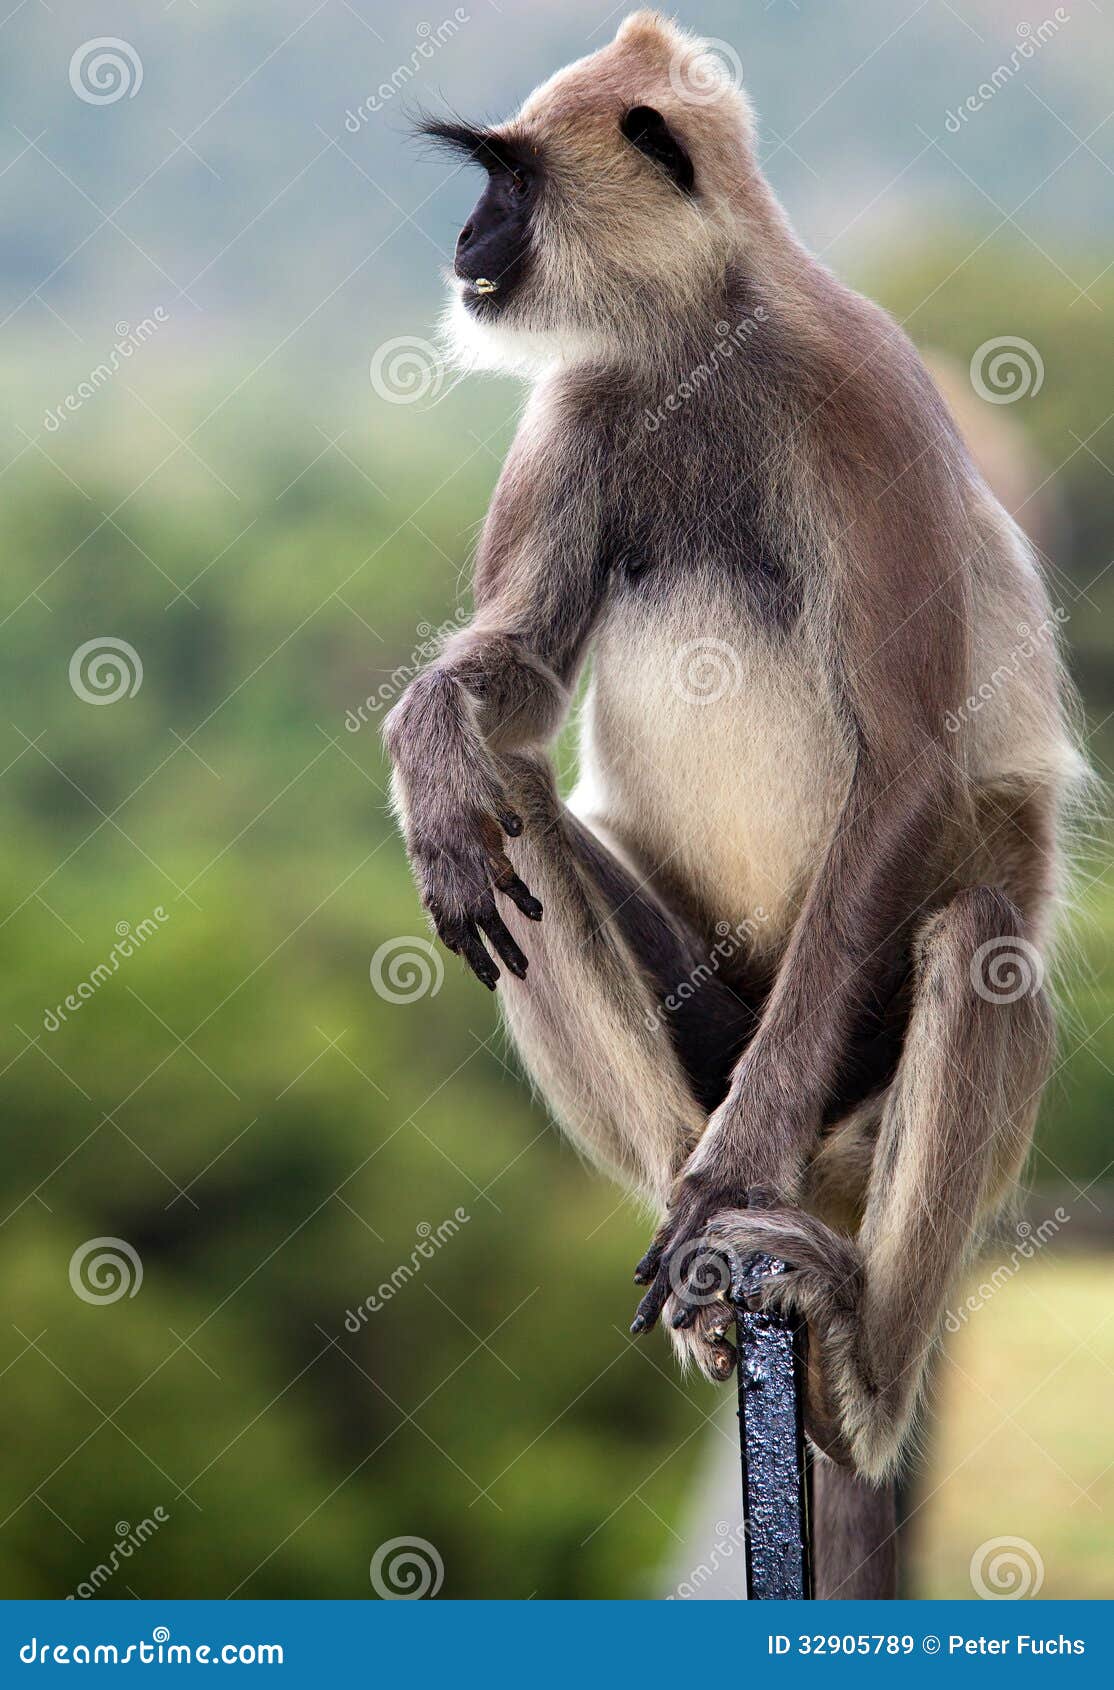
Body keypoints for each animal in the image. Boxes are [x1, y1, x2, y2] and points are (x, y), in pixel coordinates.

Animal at [383, 12, 1086, 1598]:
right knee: (509, 813)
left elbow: (907, 761)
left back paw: (851, 1365)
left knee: (979, 920)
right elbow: (508, 705)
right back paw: (686, 1217)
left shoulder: (863, 393)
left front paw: (738, 1164)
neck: (708, 341)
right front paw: (426, 739)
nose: (464, 240)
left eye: (507, 183)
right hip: (710, 1013)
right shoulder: (580, 403)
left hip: (842, 1048)